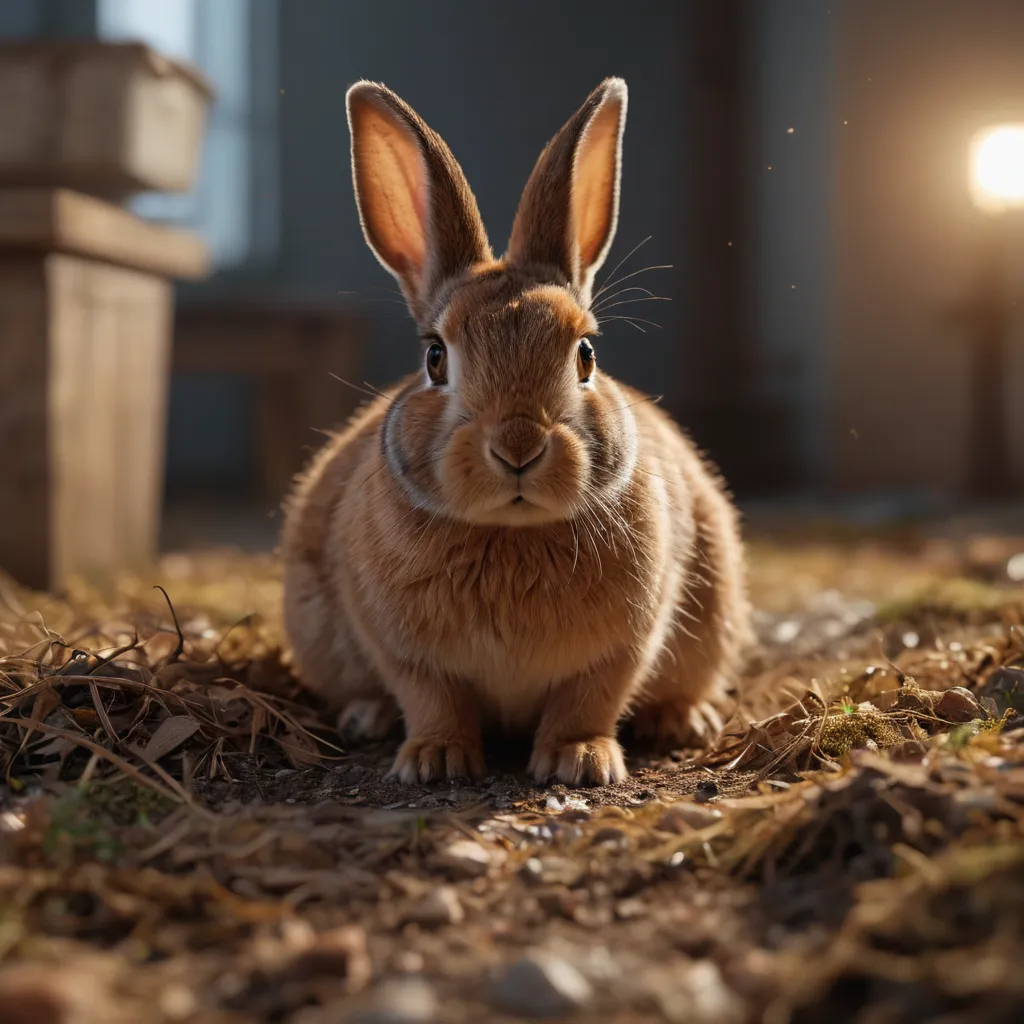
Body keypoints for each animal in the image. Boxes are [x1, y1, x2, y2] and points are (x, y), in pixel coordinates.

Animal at [281, 77, 753, 787]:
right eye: (435, 358)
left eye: (586, 355)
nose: (518, 447)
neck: (509, 531)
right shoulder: (402, 650)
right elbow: (431, 698)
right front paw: (435, 759)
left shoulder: (624, 646)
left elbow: (590, 699)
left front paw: (578, 761)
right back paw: (369, 717)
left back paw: (683, 720)